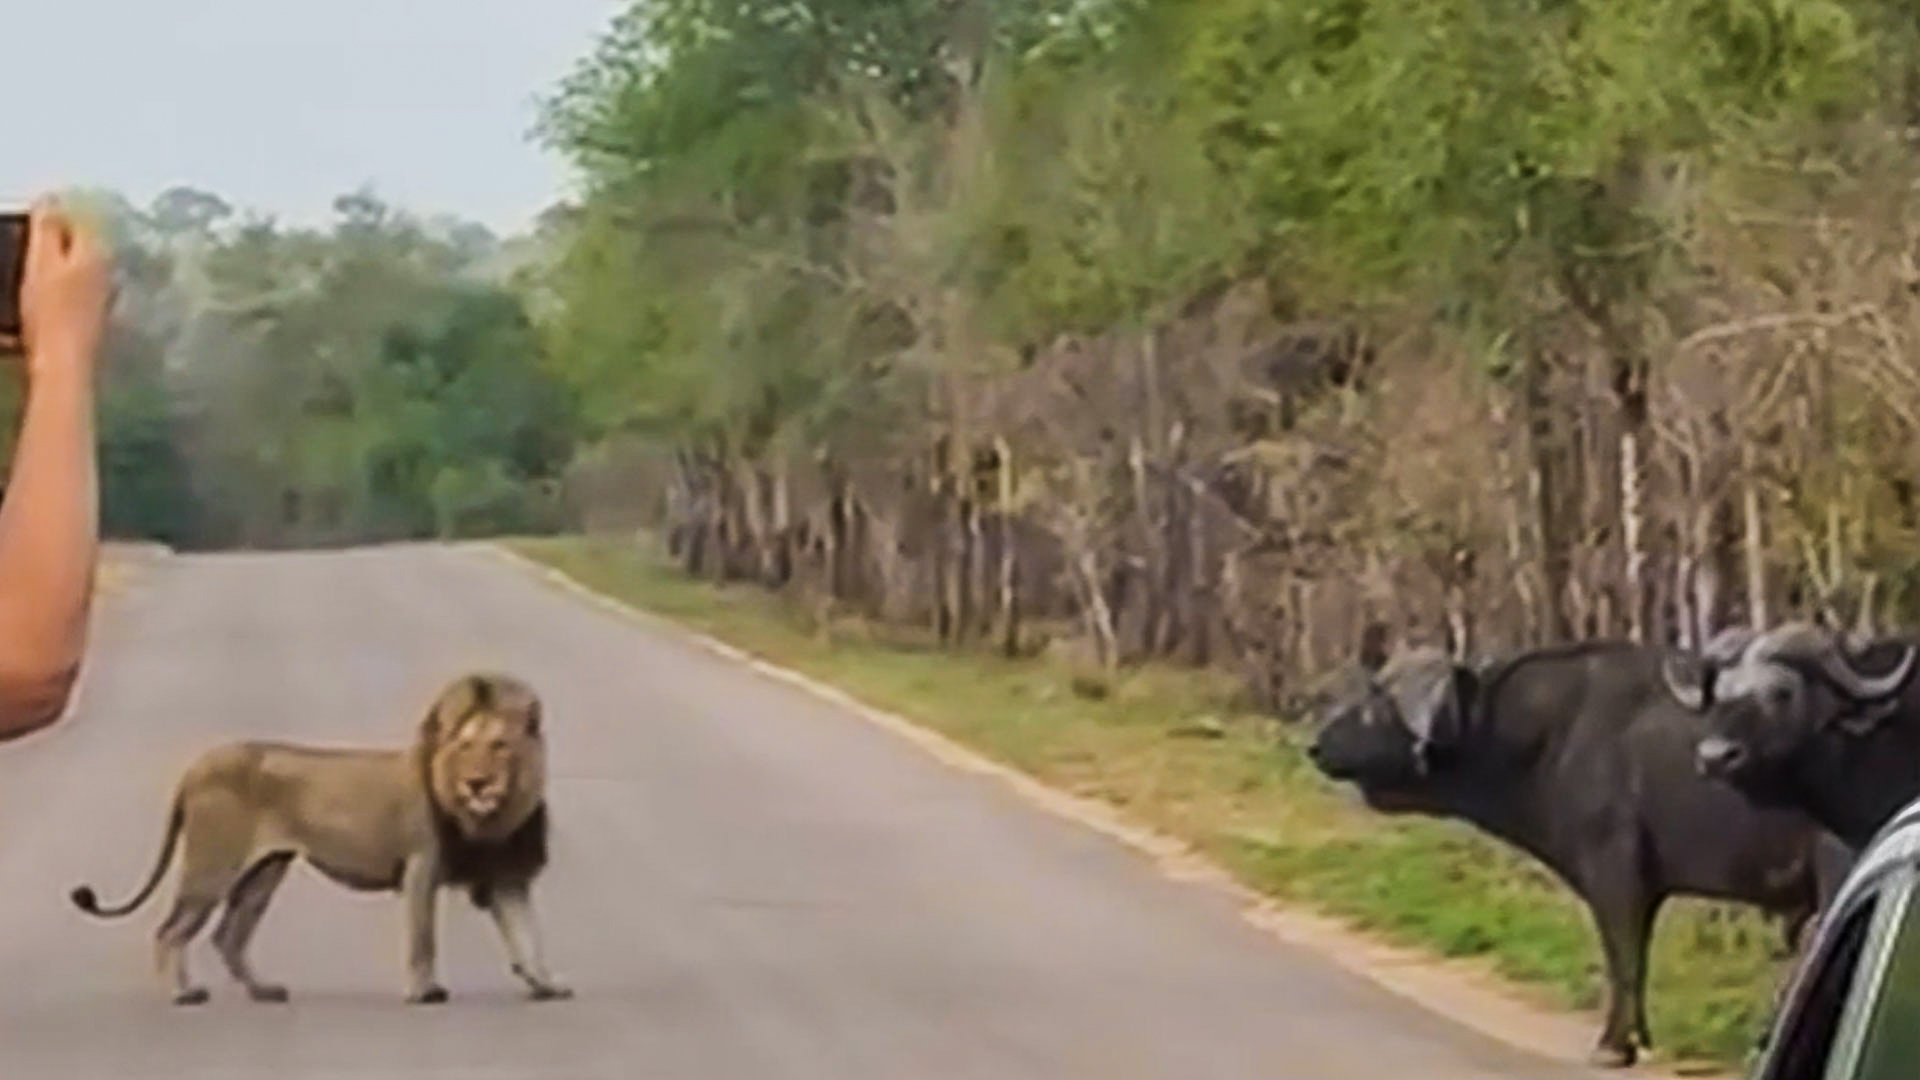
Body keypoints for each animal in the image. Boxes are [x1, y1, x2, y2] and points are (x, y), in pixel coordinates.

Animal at [69, 672, 570, 1006]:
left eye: (500, 746)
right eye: (465, 746)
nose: (477, 783)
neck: (491, 816)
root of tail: (196, 765)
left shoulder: (506, 876)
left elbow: (529, 935)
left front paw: (547, 984)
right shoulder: (420, 866)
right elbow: (423, 938)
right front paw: (423, 991)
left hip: (263, 873)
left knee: (228, 936)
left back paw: (264, 990)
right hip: (212, 865)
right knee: (171, 930)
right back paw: (183, 992)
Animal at [1308, 640, 1849, 1069]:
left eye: (1375, 705)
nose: (1315, 747)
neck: (1543, 736)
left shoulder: (1617, 877)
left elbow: (1625, 959)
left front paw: (1615, 1045)